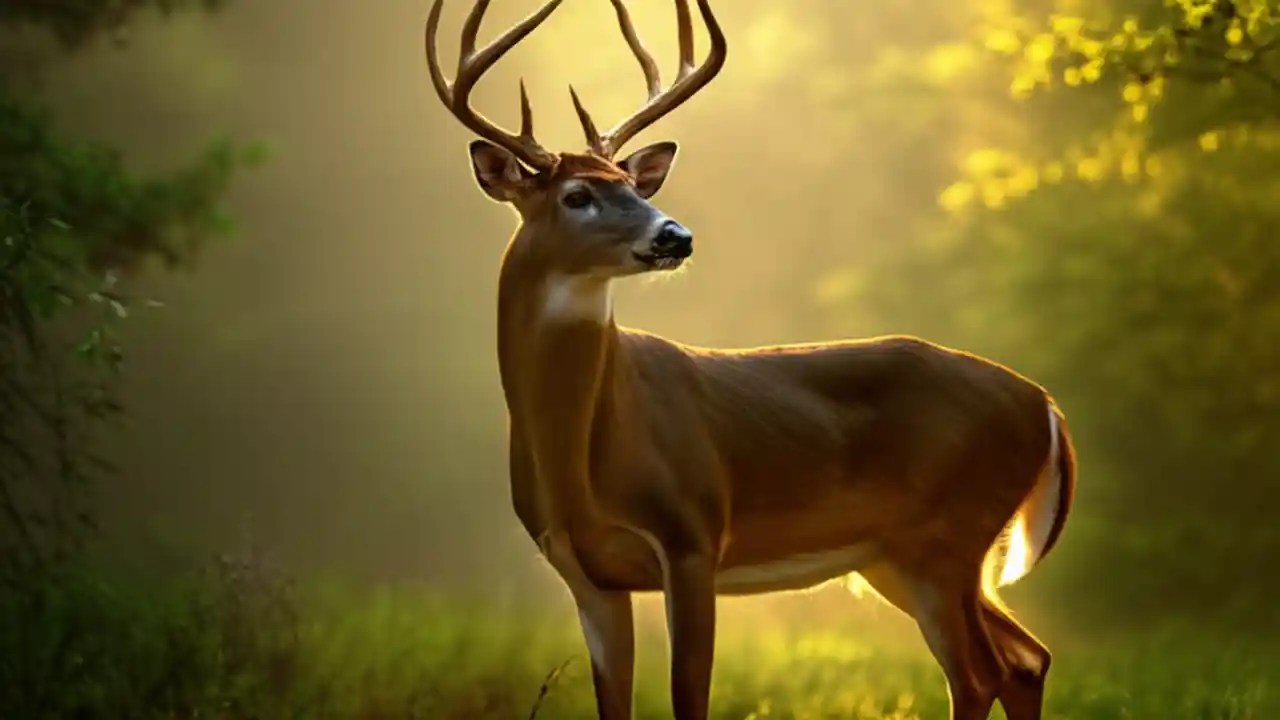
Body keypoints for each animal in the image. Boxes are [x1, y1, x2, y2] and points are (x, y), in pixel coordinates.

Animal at [423, 1, 1076, 719]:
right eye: (576, 196)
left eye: (632, 185)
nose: (676, 235)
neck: (580, 460)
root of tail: (1045, 404)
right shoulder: (585, 570)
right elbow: (613, 703)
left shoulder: (693, 534)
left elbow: (690, 697)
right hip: (897, 557)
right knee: (1027, 658)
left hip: (948, 535)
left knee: (982, 672)